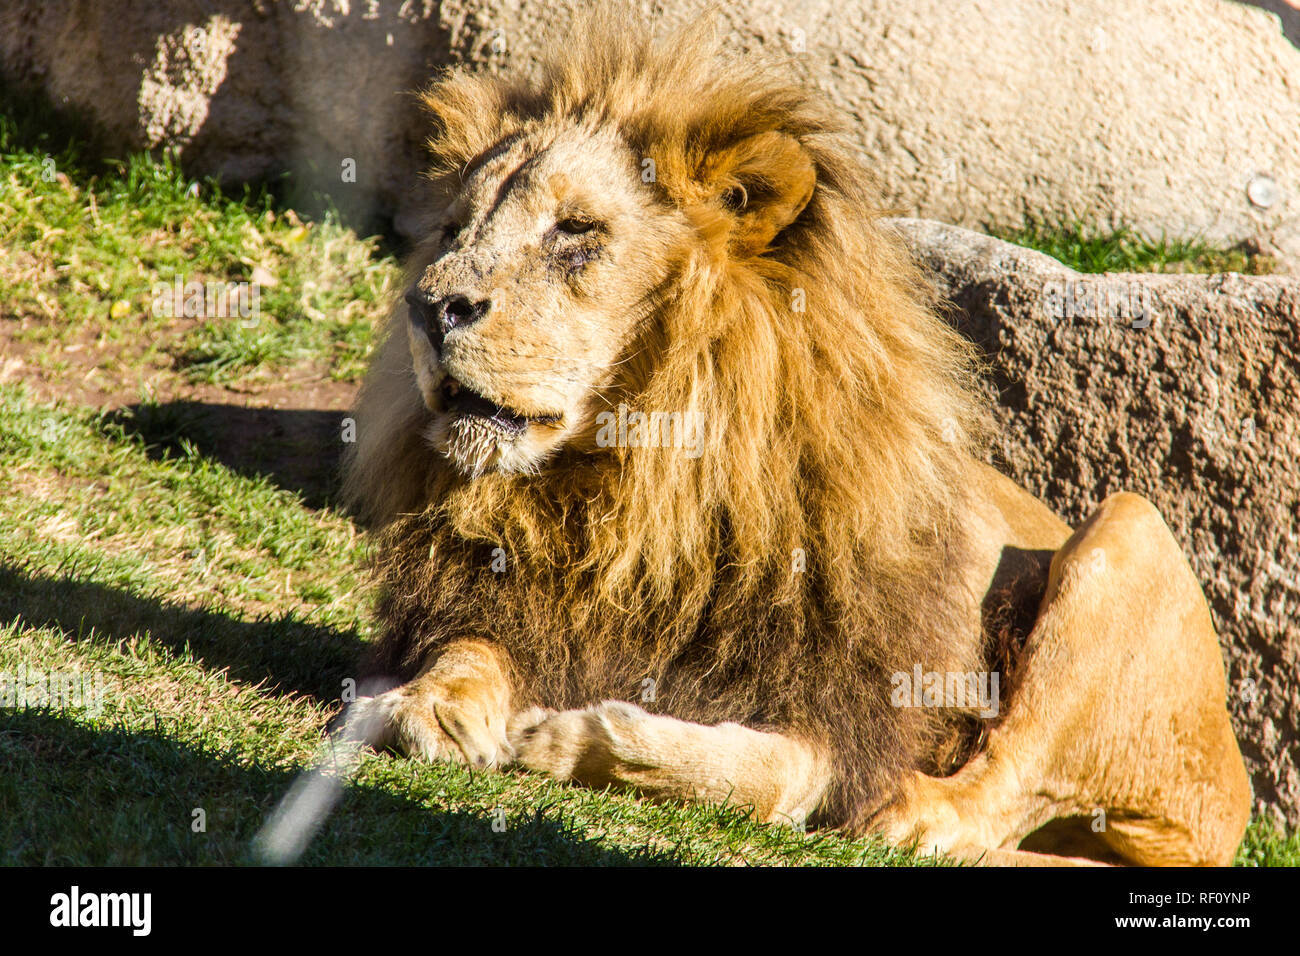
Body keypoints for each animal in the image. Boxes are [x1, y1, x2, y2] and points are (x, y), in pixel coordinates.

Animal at [340, 11, 1251, 865]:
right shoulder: (500, 601)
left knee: (993, 790)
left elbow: (769, 773)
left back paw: (909, 812)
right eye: (454, 228)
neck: (630, 492)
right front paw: (431, 705)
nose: (429, 306)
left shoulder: (839, 714)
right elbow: (468, 648)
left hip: (1130, 529)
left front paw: (570, 738)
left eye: (575, 230)